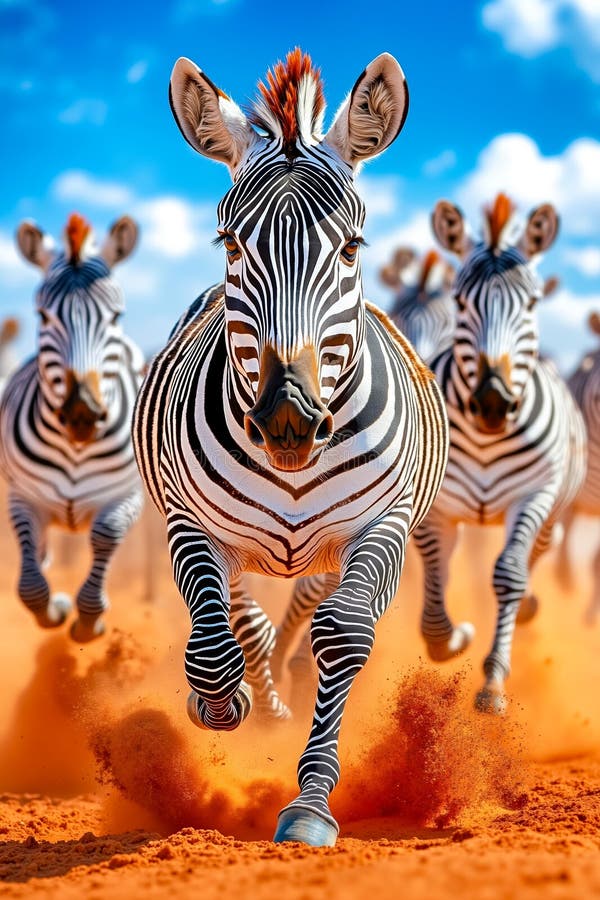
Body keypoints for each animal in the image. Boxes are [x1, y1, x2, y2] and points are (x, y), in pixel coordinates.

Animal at [0, 213, 144, 642]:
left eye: (116, 317)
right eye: (44, 317)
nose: (82, 415)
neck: (75, 448)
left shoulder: (126, 497)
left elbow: (106, 534)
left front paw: (88, 621)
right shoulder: (22, 497)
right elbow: (30, 586)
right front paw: (58, 608)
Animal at [133, 49, 449, 846]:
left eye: (352, 247)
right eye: (230, 244)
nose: (288, 421)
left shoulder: (385, 522)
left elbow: (345, 633)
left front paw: (310, 804)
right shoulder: (186, 520)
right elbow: (212, 647)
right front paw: (219, 702)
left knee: (309, 600)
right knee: (237, 612)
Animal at [411, 193, 586, 713]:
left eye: (531, 303)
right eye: (460, 302)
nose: (492, 403)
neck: (487, 437)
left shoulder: (532, 495)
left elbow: (508, 573)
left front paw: (491, 684)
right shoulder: (436, 508)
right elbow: (435, 583)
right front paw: (455, 639)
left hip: (552, 509)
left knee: (534, 557)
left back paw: (527, 605)